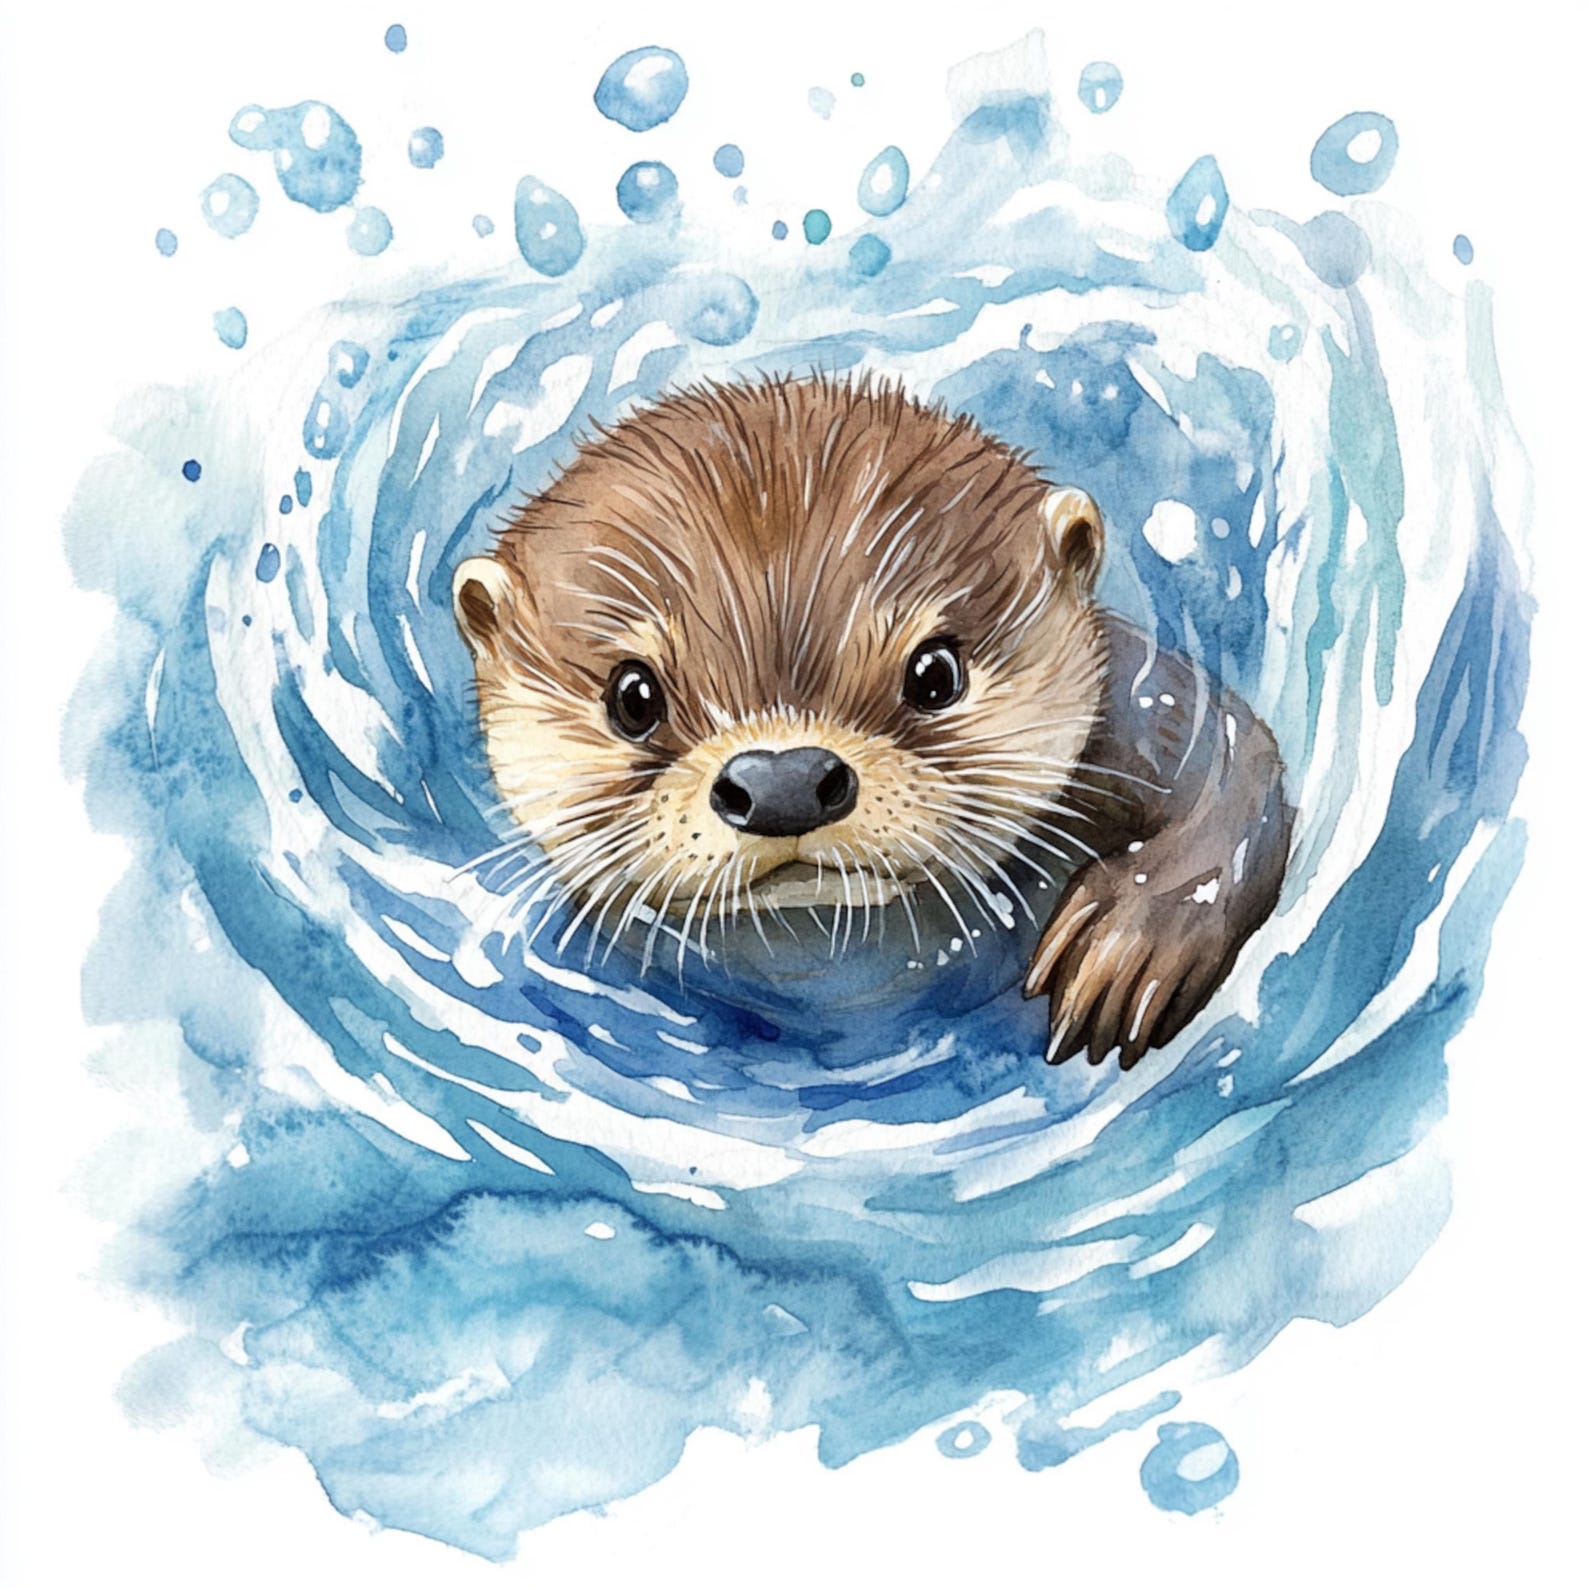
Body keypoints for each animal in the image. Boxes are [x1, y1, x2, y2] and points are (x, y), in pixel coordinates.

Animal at [453, 375, 1291, 1068]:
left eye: (935, 673)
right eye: (633, 696)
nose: (784, 781)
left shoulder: (1142, 706)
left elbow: (1240, 764)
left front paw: (1131, 941)